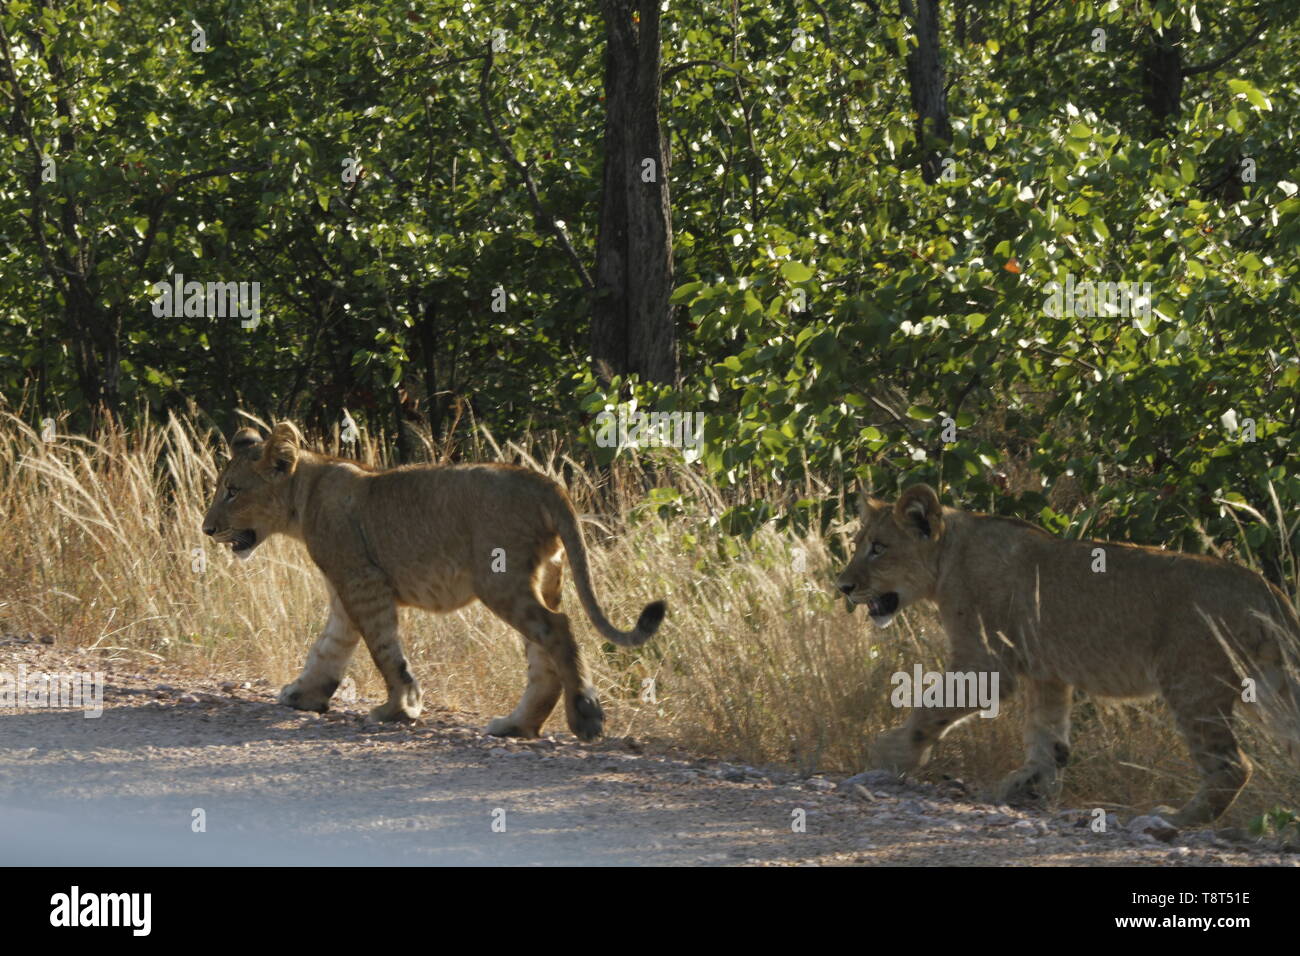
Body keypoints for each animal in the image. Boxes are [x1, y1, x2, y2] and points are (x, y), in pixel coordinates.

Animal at [202, 422, 665, 741]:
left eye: (232, 490)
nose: (207, 530)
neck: (304, 494)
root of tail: (546, 482)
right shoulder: (345, 588)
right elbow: (329, 647)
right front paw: (305, 695)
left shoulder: (363, 582)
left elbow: (384, 649)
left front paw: (399, 708)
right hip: (542, 578)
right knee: (543, 653)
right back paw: (516, 726)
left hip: (500, 580)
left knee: (558, 630)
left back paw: (585, 716)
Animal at [836, 483, 1300, 826]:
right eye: (857, 543)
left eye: (878, 548)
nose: (842, 585)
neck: (948, 556)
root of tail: (1265, 590)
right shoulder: (1048, 672)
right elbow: (1047, 736)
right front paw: (1028, 787)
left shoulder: (986, 663)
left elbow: (931, 710)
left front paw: (890, 755)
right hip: (1269, 687)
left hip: (1194, 684)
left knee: (1233, 766)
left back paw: (1172, 820)